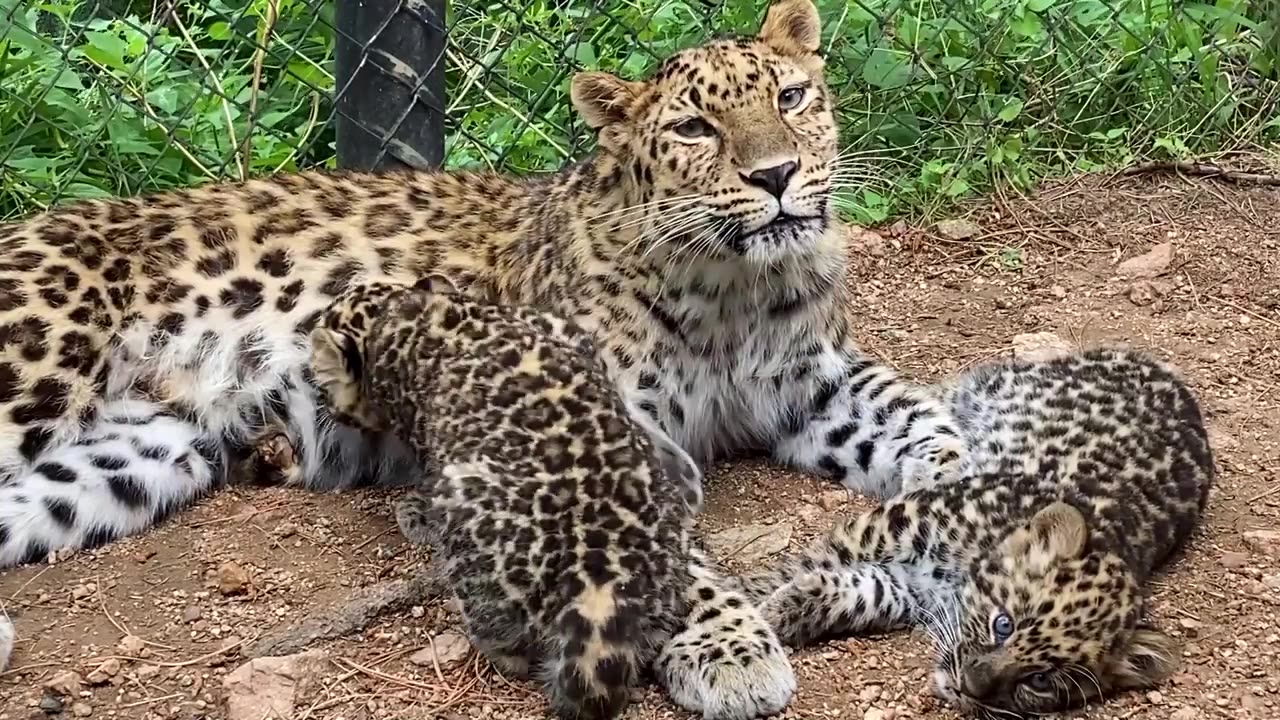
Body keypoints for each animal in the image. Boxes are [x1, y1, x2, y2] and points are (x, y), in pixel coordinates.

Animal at [738, 347, 1215, 718]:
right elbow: (816, 559)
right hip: (982, 392)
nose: (970, 684)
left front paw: (783, 611)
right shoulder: (892, 526)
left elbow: (858, 594)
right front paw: (751, 603)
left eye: (1041, 680)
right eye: (1002, 624)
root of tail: (1162, 368)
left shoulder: (907, 588)